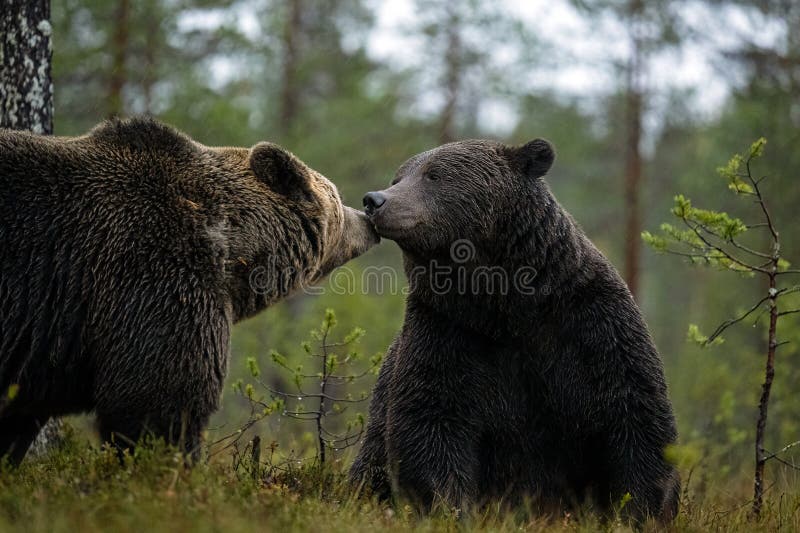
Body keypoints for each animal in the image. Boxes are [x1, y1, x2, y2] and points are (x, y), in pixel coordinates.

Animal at [0, 117, 379, 464]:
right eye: (336, 198)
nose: (367, 218)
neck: (233, 250)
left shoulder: (43, 350)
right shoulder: (155, 276)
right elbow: (160, 399)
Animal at [351, 138, 679, 523]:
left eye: (434, 175)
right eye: (399, 176)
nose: (375, 200)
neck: (505, 303)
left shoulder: (592, 326)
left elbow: (634, 414)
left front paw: (639, 510)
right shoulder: (448, 330)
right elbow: (431, 416)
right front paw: (449, 508)